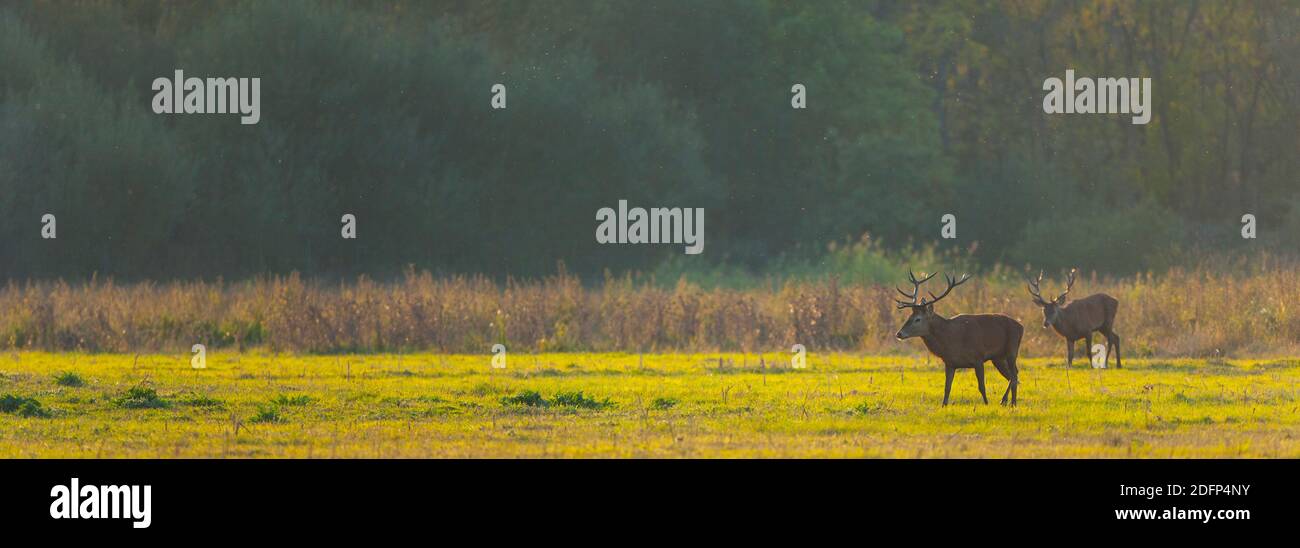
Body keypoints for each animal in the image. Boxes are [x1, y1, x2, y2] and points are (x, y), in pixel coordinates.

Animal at [894, 271, 1024, 406]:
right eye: (910, 316)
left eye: (918, 319)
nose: (899, 334)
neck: (951, 341)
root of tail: (1021, 326)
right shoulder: (950, 363)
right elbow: (947, 388)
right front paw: (943, 405)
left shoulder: (978, 358)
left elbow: (981, 387)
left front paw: (986, 403)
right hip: (998, 357)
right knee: (1013, 375)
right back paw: (1009, 402)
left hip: (1012, 349)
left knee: (1014, 376)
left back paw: (1009, 402)